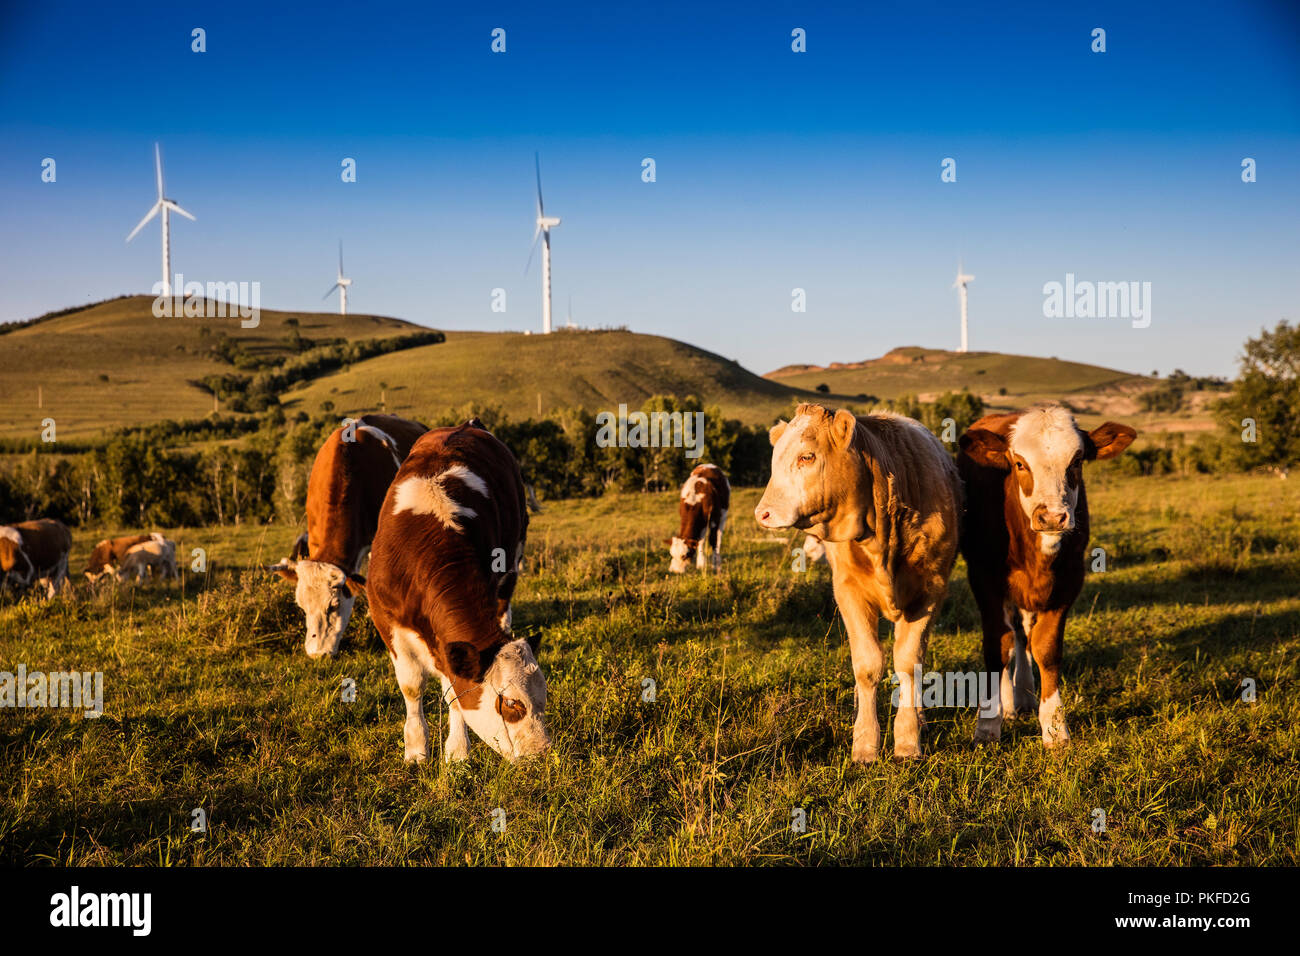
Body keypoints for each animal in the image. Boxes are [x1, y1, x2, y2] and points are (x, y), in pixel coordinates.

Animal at [366, 420, 549, 764]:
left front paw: (457, 751)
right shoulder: (387, 622)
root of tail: (467, 424)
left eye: (544, 696)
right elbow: (411, 687)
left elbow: (453, 693)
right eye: (512, 704)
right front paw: (416, 749)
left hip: (513, 561)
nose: (542, 753)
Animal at [755, 404, 962, 762]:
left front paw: (908, 740)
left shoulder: (930, 590)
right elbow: (867, 665)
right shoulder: (848, 591)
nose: (763, 513)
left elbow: (909, 662)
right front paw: (865, 742)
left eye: (807, 456)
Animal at [958, 404, 1136, 748]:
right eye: (1019, 463)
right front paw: (987, 725)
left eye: (1076, 461)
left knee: (1023, 632)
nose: (1052, 517)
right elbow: (996, 647)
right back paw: (1009, 704)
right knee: (1011, 635)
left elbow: (1046, 648)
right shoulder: (984, 578)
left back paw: (1024, 695)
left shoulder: (1069, 580)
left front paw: (1055, 728)